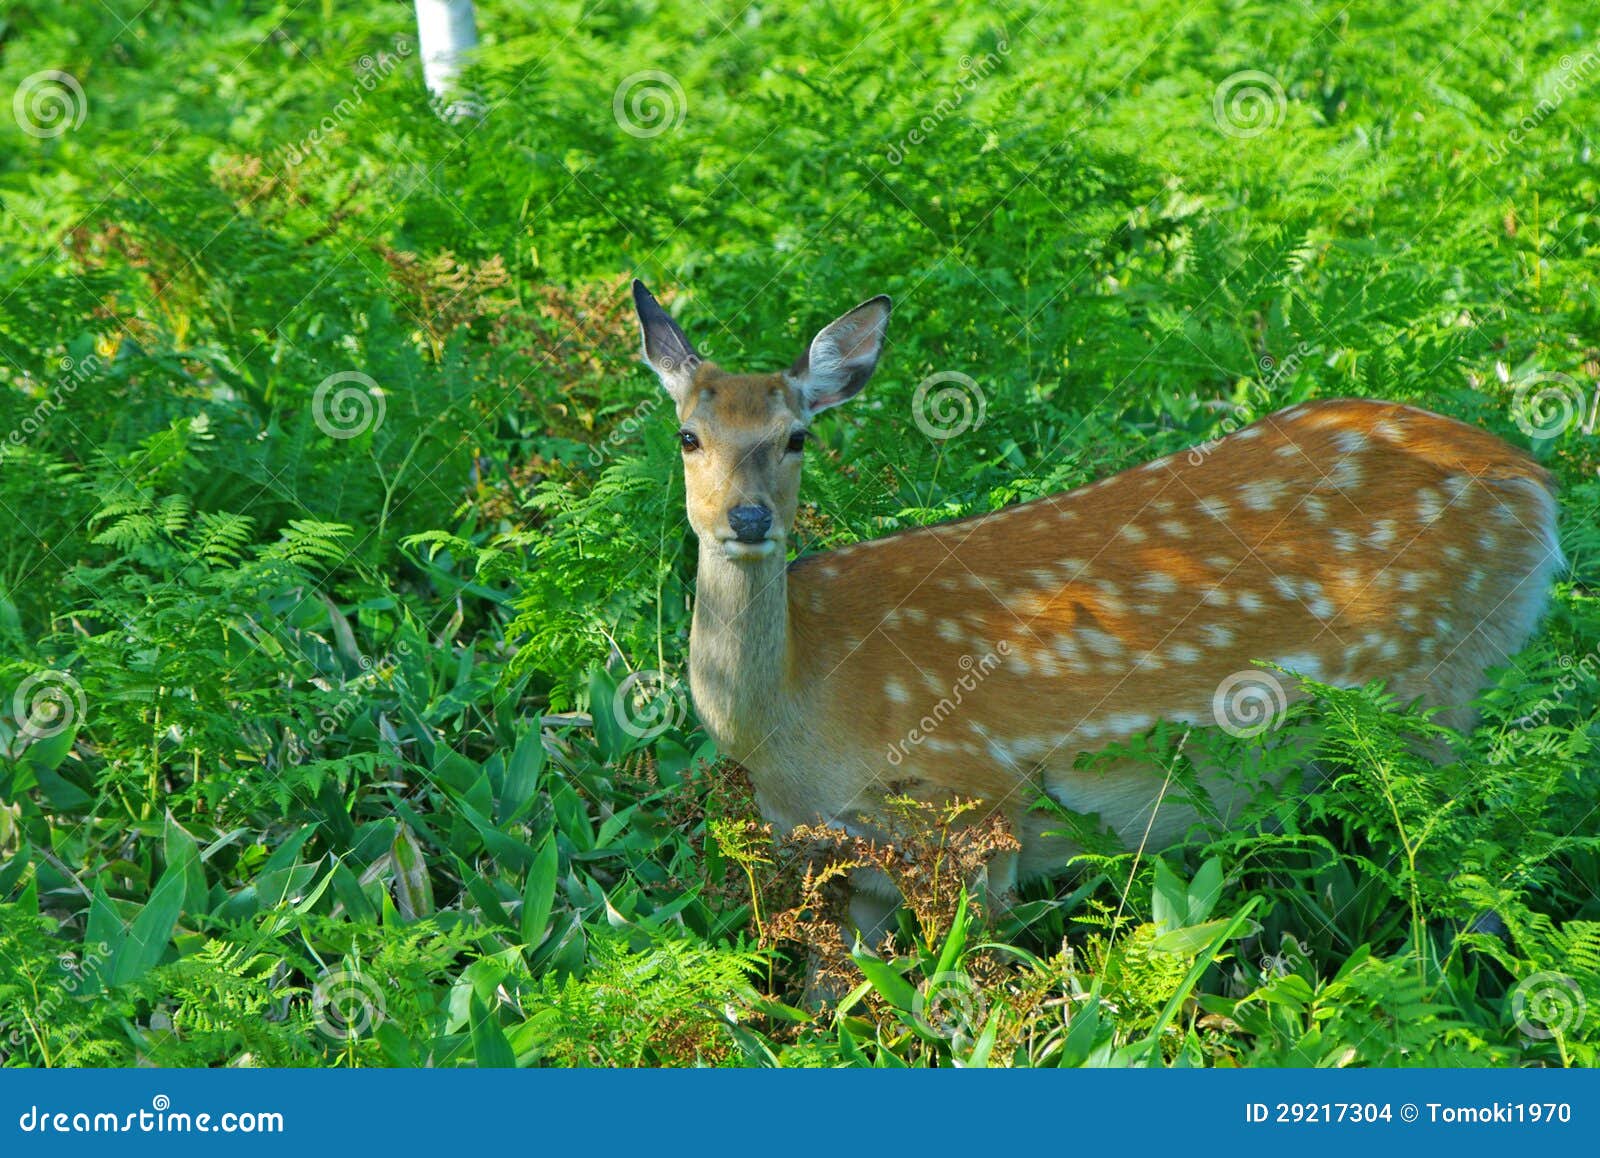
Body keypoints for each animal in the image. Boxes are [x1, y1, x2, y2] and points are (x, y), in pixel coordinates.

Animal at [630, 279, 1564, 949]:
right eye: (688, 436)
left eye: (797, 437)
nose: (748, 519)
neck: (795, 728)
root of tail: (1537, 487)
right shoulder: (848, 871)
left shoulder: (975, 802)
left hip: (1436, 681)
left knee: (1478, 868)